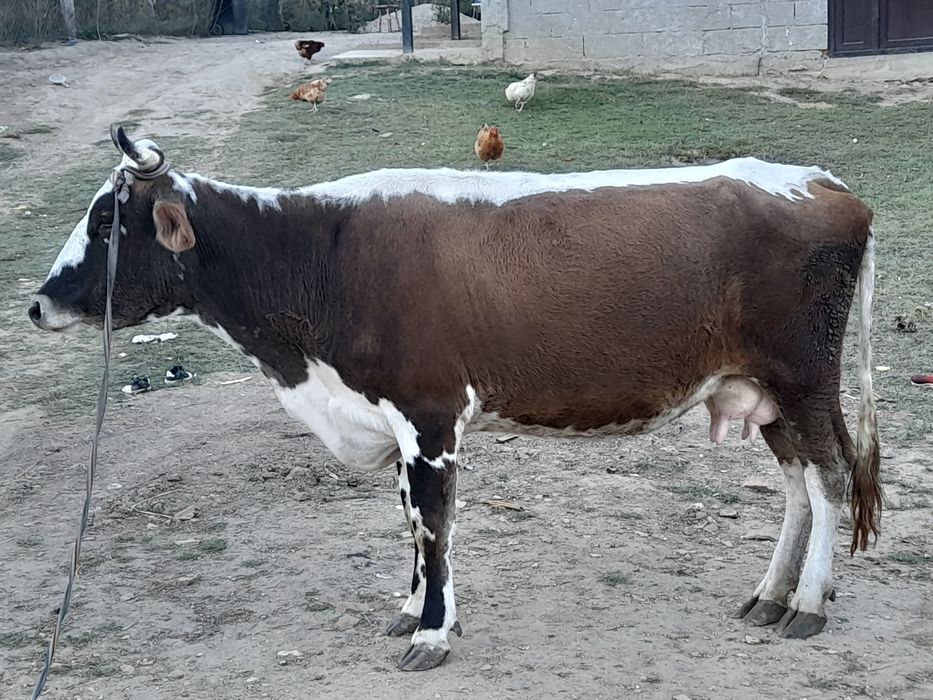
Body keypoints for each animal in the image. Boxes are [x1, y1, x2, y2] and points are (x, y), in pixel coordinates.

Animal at [29, 126, 882, 672]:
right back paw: (769, 594)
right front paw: (413, 610)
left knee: (830, 477)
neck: (321, 258)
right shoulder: (394, 417)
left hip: (801, 378)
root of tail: (824, 183)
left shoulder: (429, 412)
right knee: (800, 484)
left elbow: (432, 526)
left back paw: (807, 604)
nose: (37, 305)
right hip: (761, 389)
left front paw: (433, 635)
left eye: (108, 221)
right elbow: (409, 518)